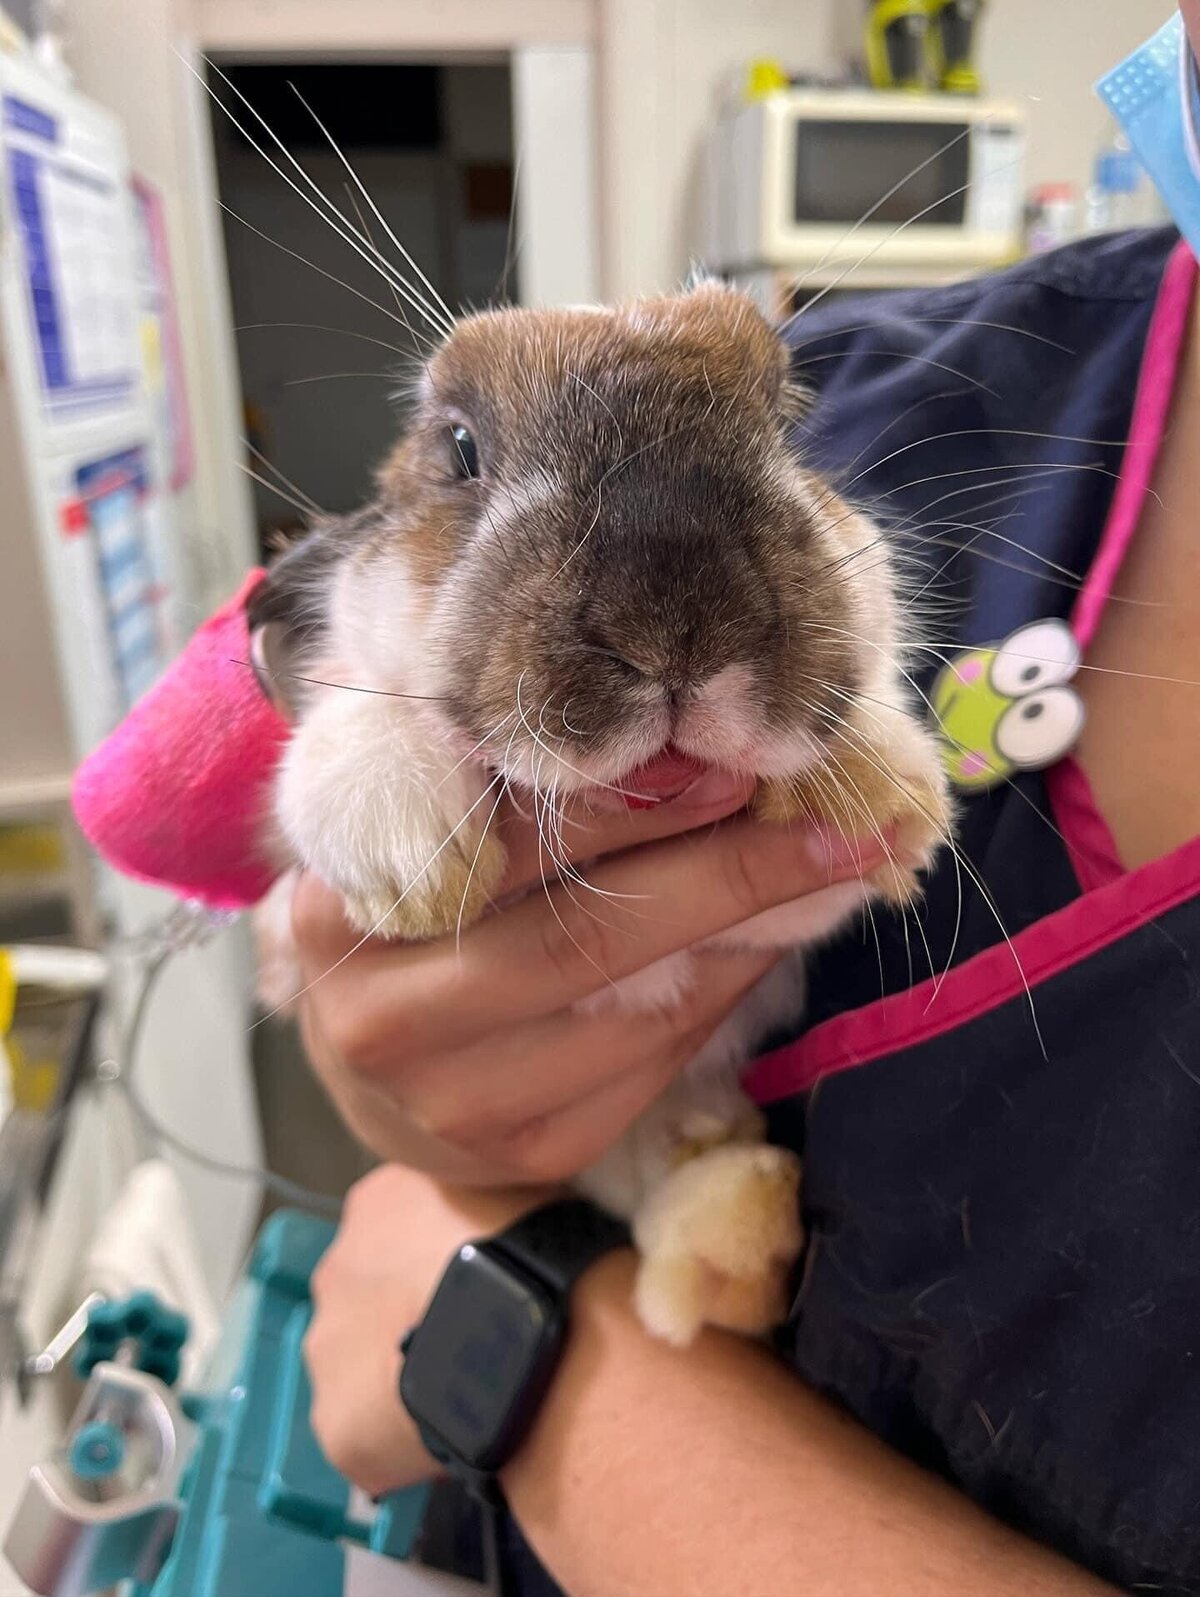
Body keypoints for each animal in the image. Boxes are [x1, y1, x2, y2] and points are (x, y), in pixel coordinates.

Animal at [248, 280, 951, 1347]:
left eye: (788, 422)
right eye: (460, 448)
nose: (677, 624)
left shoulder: (772, 939)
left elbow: (818, 882)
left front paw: (878, 779)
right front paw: (408, 847)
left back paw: (733, 1233)